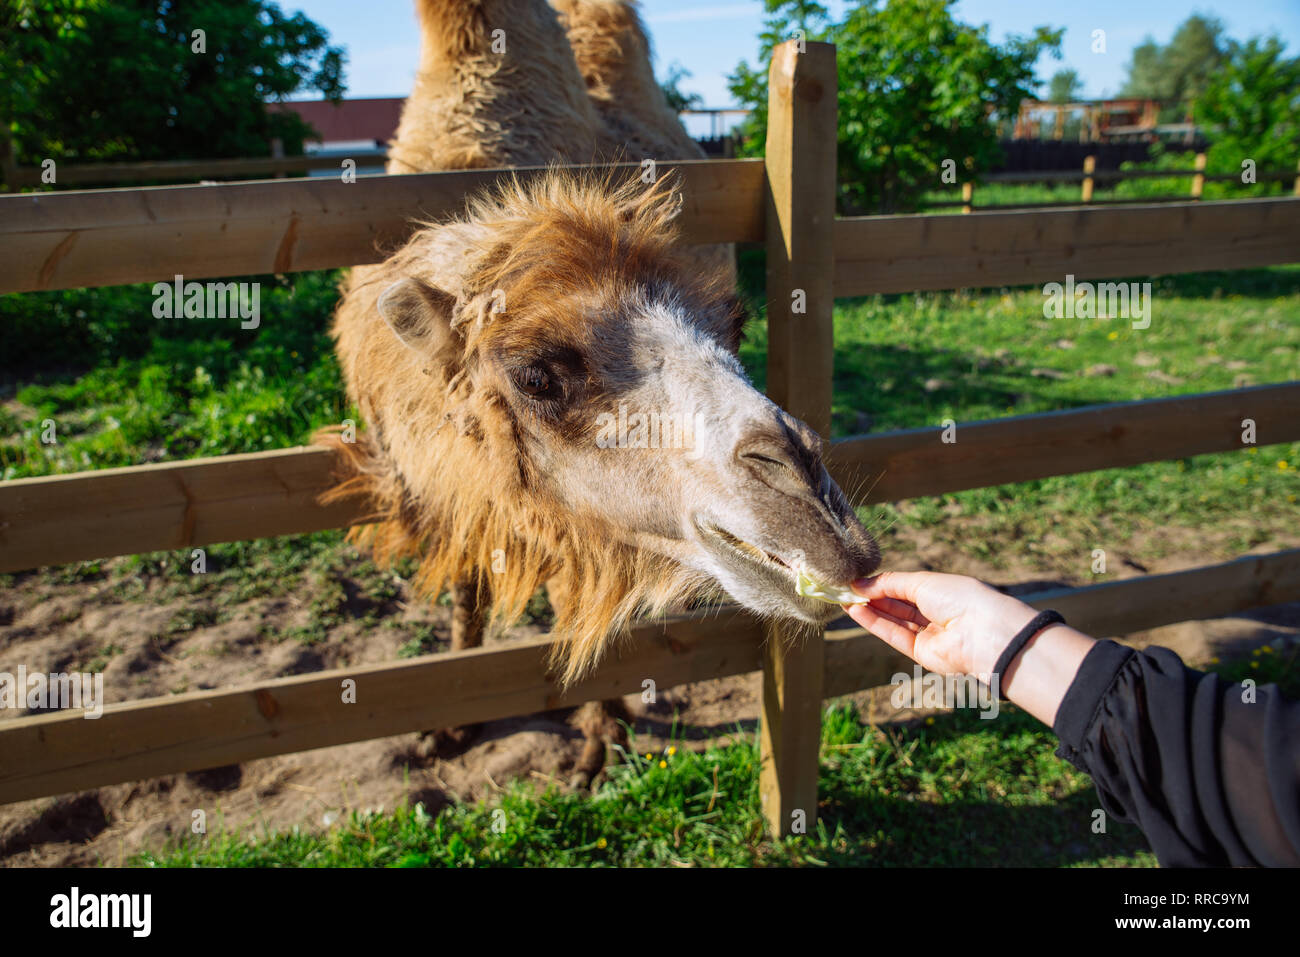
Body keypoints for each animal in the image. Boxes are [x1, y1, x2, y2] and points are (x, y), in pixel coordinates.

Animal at [316, 0, 880, 783]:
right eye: (537, 375)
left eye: (734, 326)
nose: (824, 523)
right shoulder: (458, 476)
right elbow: (468, 585)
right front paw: (450, 726)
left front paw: (598, 740)